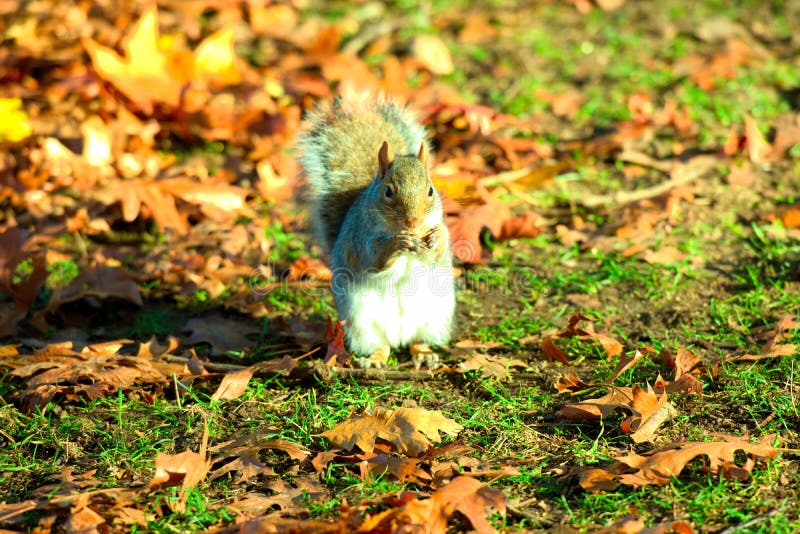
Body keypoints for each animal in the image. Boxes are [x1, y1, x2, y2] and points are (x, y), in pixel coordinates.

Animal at [297, 94, 455, 369]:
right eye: (388, 191)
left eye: (431, 191)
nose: (413, 222)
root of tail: (400, 335)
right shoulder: (361, 236)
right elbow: (372, 259)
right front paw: (398, 243)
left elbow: (437, 254)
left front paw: (438, 236)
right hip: (360, 324)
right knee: (381, 346)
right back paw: (375, 360)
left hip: (435, 317)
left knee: (418, 341)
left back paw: (424, 354)